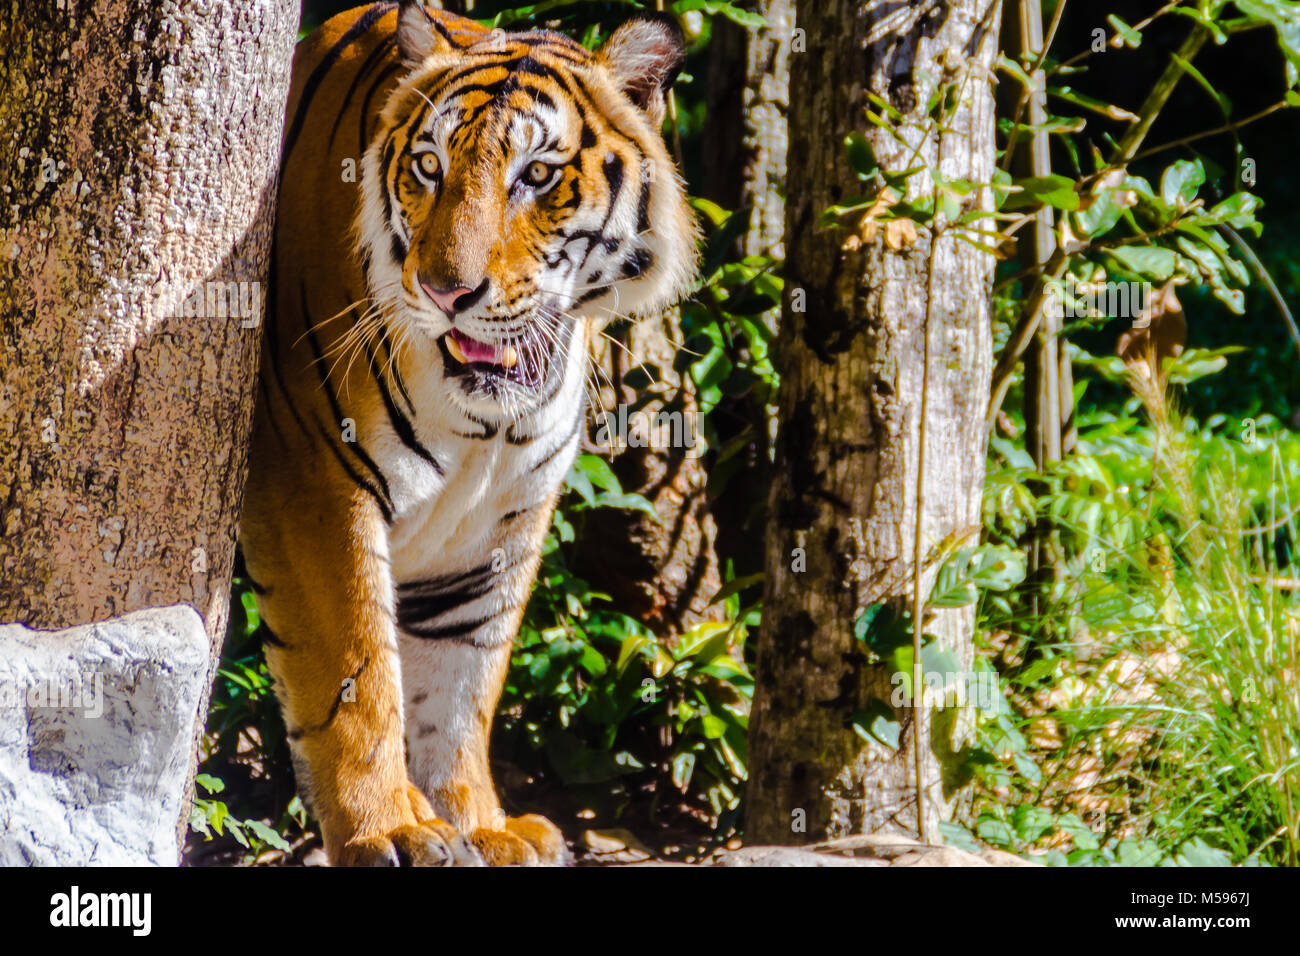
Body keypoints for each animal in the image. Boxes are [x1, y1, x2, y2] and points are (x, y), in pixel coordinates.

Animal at [238, 0, 697, 866]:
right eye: (428, 167)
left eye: (538, 176)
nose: (445, 291)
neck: (483, 425)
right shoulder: (312, 481)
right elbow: (357, 675)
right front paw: (392, 829)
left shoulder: (495, 529)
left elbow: (460, 686)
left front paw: (481, 825)